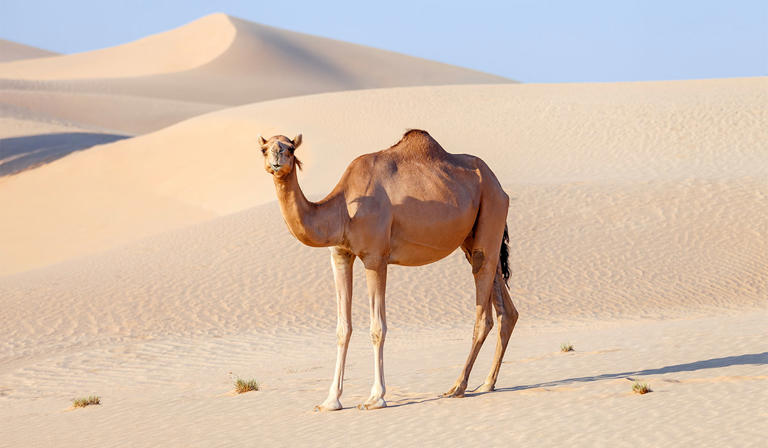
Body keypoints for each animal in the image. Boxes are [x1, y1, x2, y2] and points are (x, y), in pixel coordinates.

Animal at [258, 129, 518, 411]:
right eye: (264, 148)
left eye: (291, 148)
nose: (277, 158)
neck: (343, 210)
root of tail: (499, 186)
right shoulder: (340, 255)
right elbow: (342, 328)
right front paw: (330, 400)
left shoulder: (376, 257)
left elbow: (377, 328)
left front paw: (376, 397)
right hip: (473, 238)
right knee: (505, 307)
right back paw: (487, 383)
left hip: (490, 210)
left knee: (484, 311)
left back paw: (457, 387)